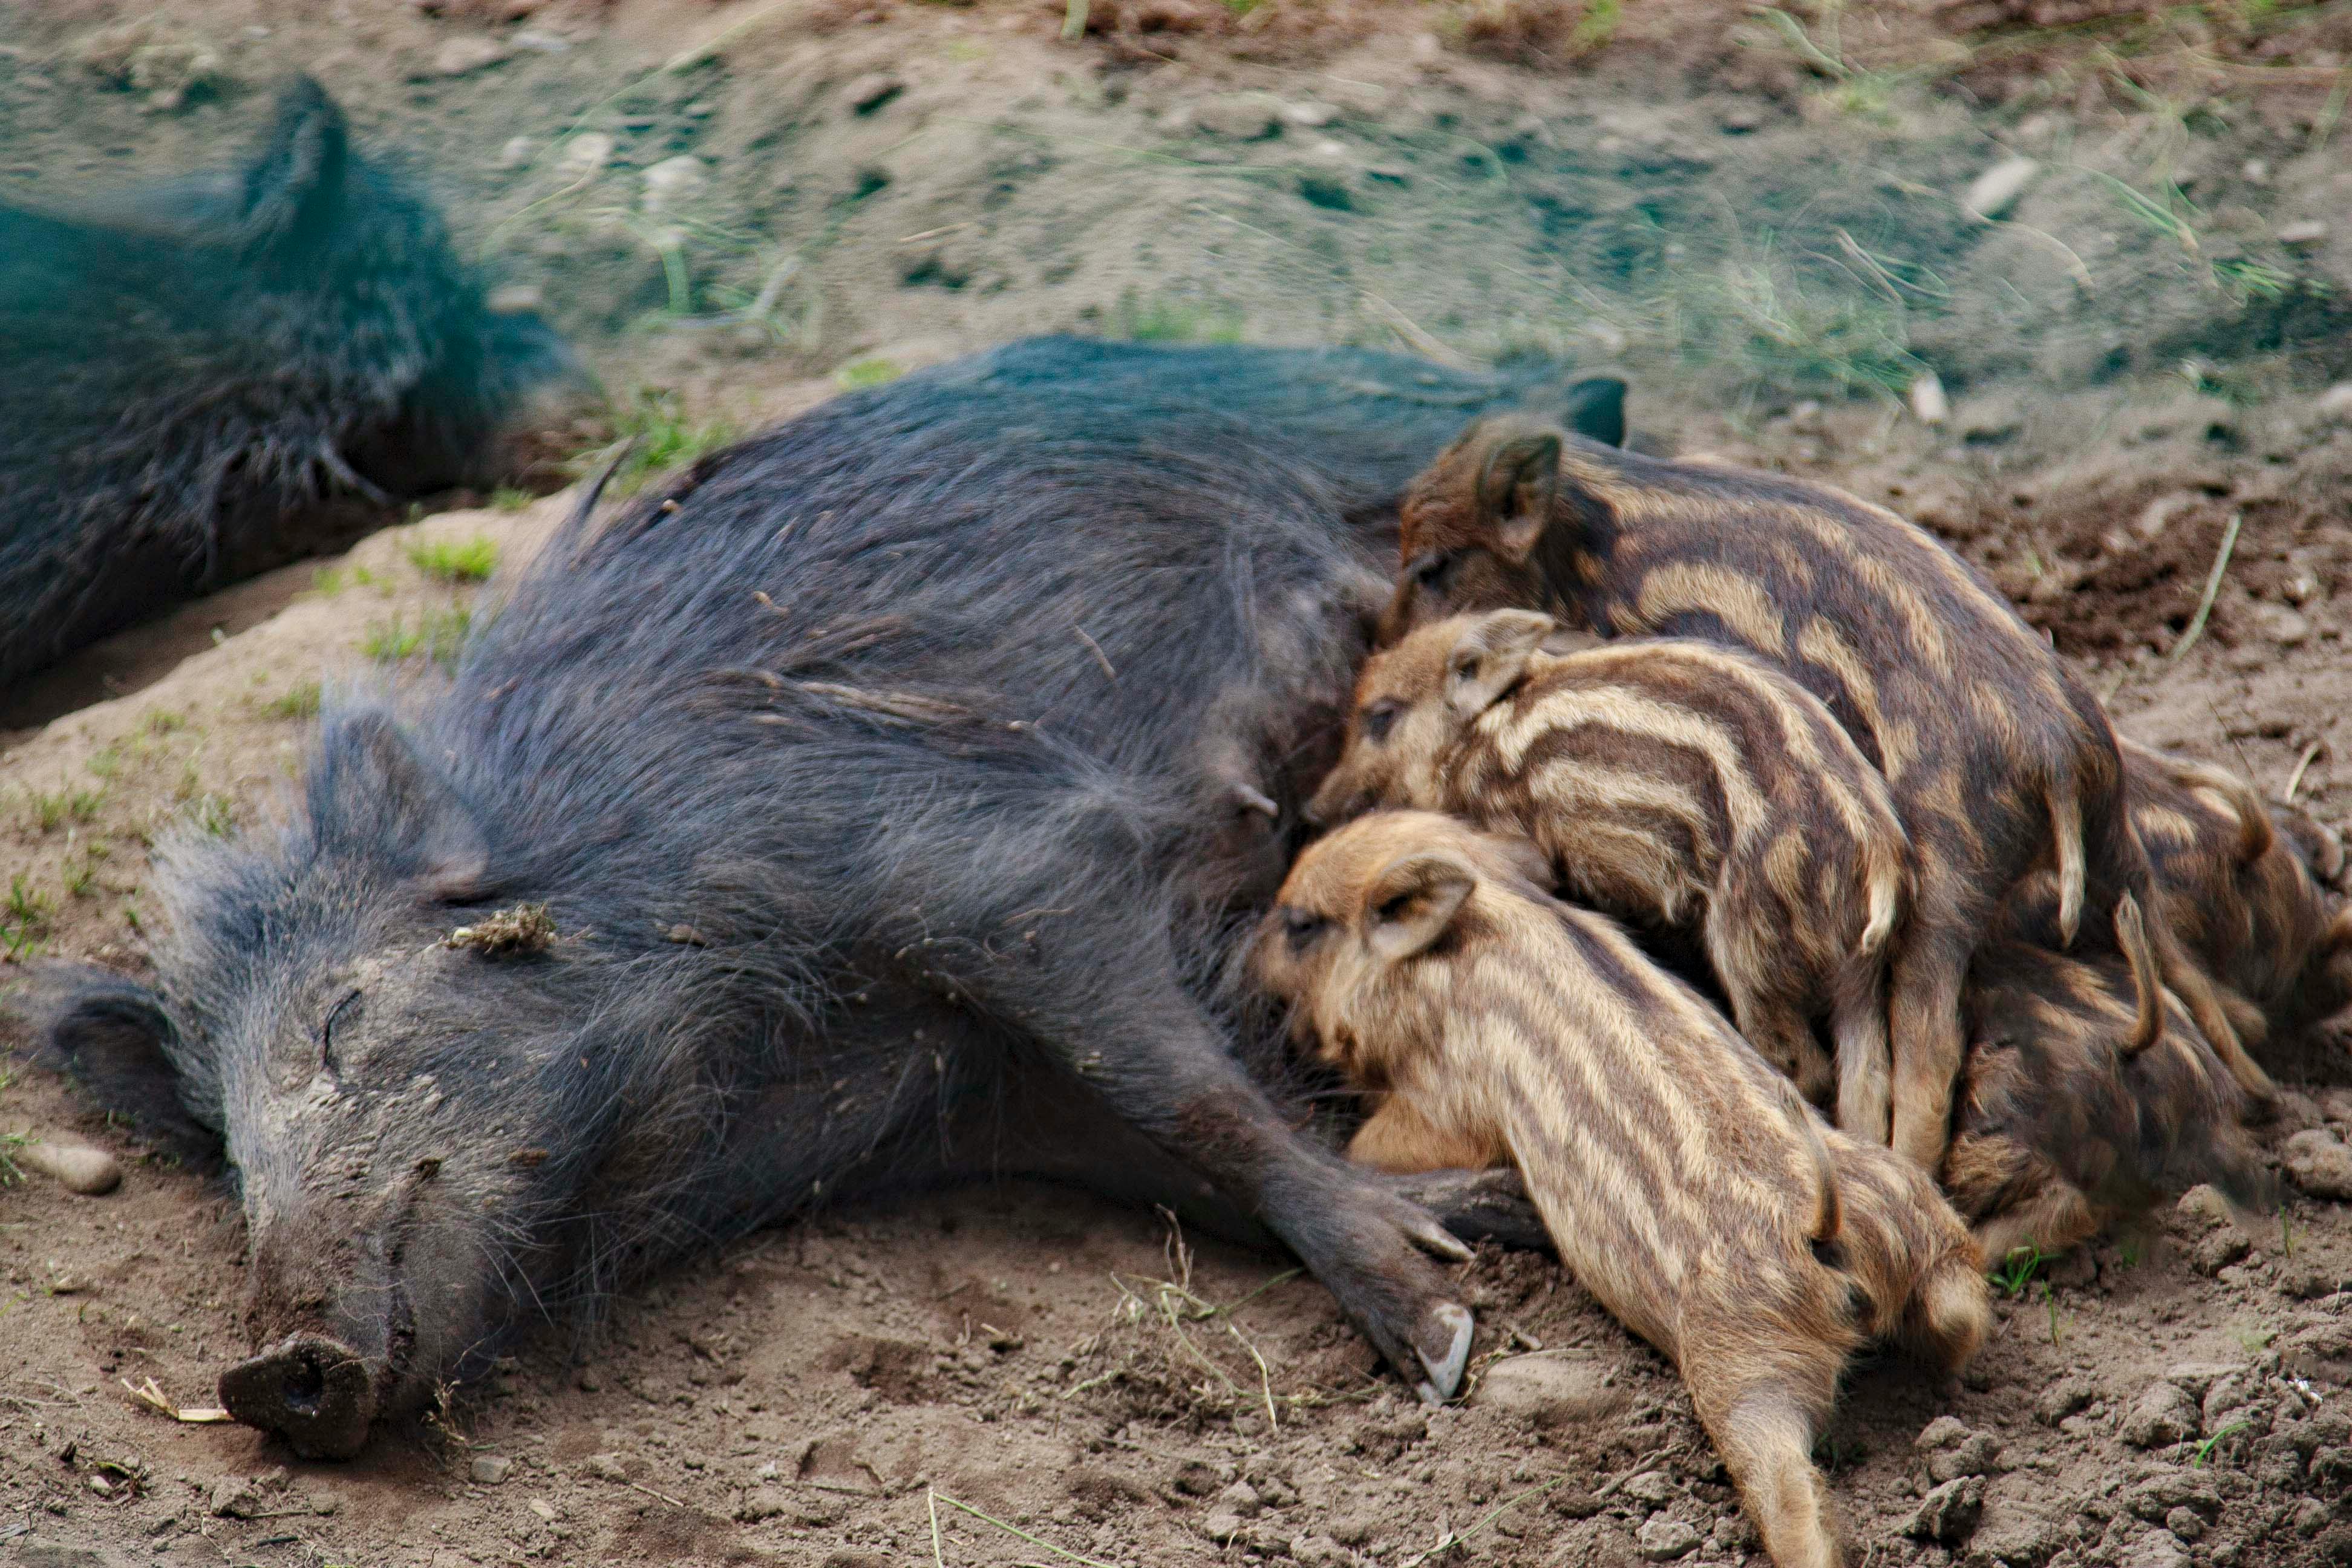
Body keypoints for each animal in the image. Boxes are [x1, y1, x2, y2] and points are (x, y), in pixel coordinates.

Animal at [20, 337, 1629, 1456]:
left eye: (344, 1019)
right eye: (225, 1144)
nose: (268, 1369)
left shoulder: (998, 863)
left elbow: (1191, 1097)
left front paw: (1441, 1340)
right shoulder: (987, 1103)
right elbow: (1188, 1152)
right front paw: (1480, 1218)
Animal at [1252, 810, 1987, 1568]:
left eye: (1301, 925)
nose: (1245, 956)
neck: (1493, 909)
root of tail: (1828, 1231)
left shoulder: (1442, 1109)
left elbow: (1372, 1146)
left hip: (1743, 1371)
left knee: (1789, 1500)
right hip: (1929, 1234)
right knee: (1961, 1320)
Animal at [1306, 608, 1911, 1141]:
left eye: (1382, 715)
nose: (1312, 812)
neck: (1475, 737)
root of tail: (1875, 860)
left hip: (1749, 947)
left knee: (1802, 1063)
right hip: (1855, 981)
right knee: (1867, 1086)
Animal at [1375, 413, 2264, 1168]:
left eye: (1432, 566)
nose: (1378, 655)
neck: (1591, 533)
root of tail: (2057, 759)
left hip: (1947, 879)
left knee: (1928, 1047)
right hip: (2117, 850)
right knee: (2181, 968)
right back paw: (2260, 1092)